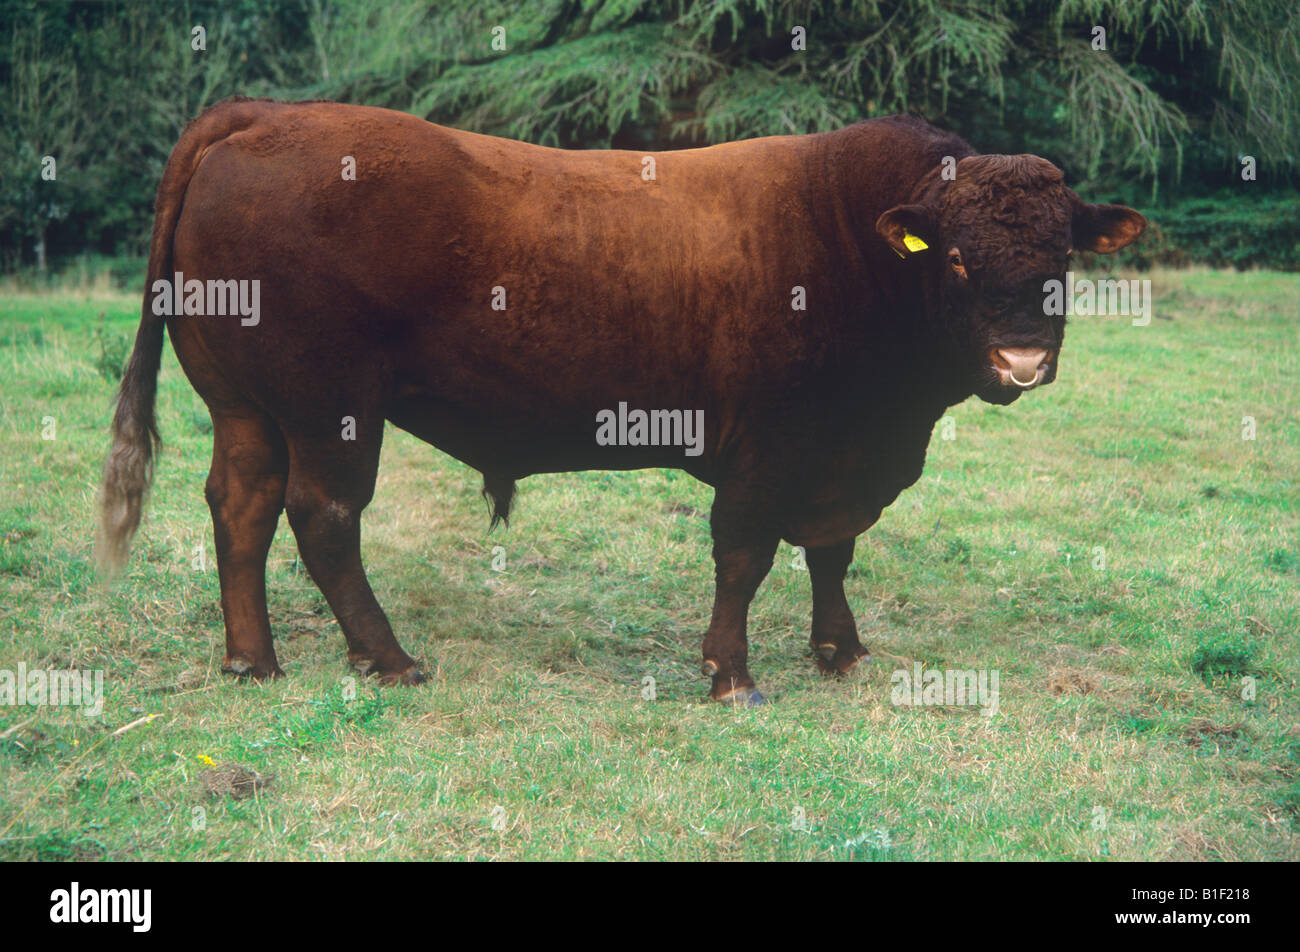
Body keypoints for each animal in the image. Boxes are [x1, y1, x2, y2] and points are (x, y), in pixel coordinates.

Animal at [97, 98, 1145, 704]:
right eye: (958, 258)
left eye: (1061, 256)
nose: (1022, 357)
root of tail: (257, 116)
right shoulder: (769, 443)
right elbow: (746, 554)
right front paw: (731, 674)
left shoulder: (837, 457)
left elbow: (832, 552)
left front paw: (838, 650)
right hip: (332, 408)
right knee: (323, 517)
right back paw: (388, 659)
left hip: (246, 406)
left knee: (240, 507)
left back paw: (253, 660)